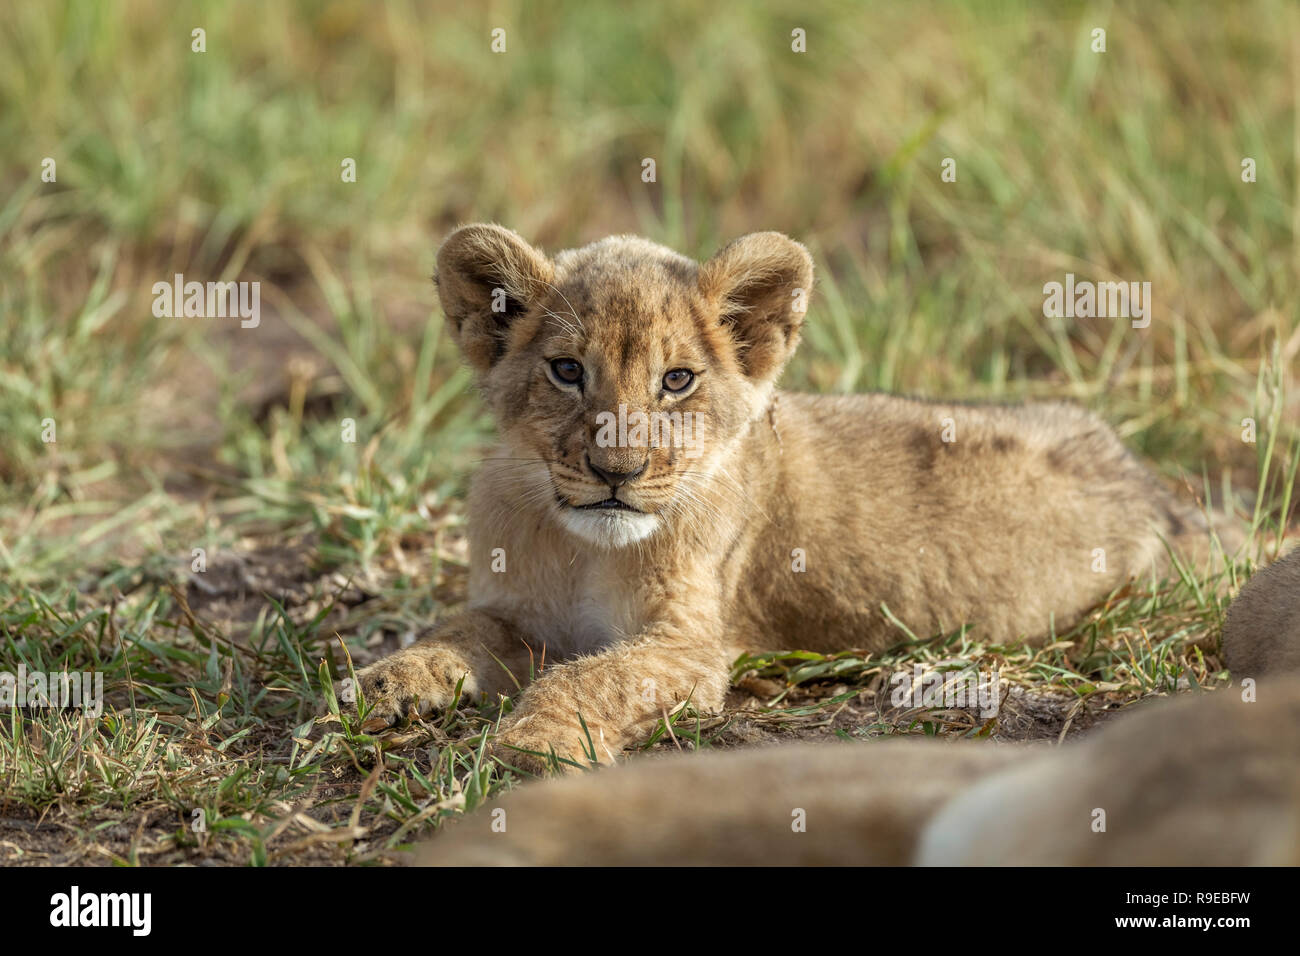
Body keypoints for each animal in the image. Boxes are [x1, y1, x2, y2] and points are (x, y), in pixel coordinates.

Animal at [356, 223, 1237, 770]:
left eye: (678, 380)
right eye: (567, 371)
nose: (617, 471)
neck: (582, 548)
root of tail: (1156, 486)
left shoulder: (692, 647)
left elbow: (585, 679)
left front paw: (533, 743)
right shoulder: (516, 613)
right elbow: (455, 628)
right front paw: (385, 684)